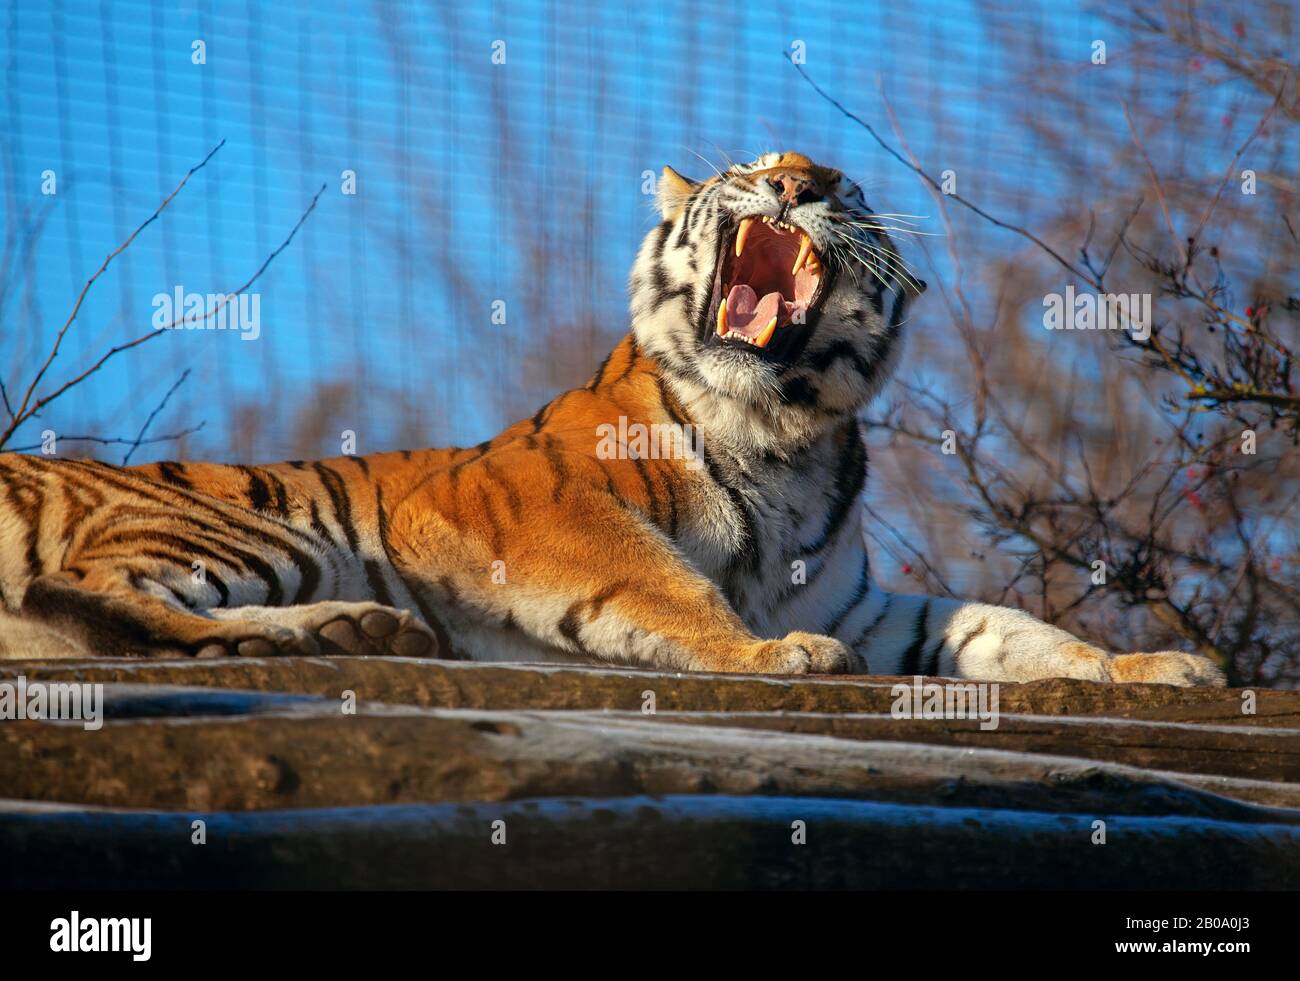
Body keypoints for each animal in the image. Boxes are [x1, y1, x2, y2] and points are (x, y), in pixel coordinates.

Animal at [0, 151, 1225, 685]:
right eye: (754, 163)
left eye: (849, 193)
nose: (801, 182)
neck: (782, 435)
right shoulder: (540, 515)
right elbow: (667, 587)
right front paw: (773, 654)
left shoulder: (873, 606)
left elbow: (1007, 631)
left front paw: (1154, 667)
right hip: (243, 522)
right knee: (87, 595)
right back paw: (332, 634)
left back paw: (352, 633)